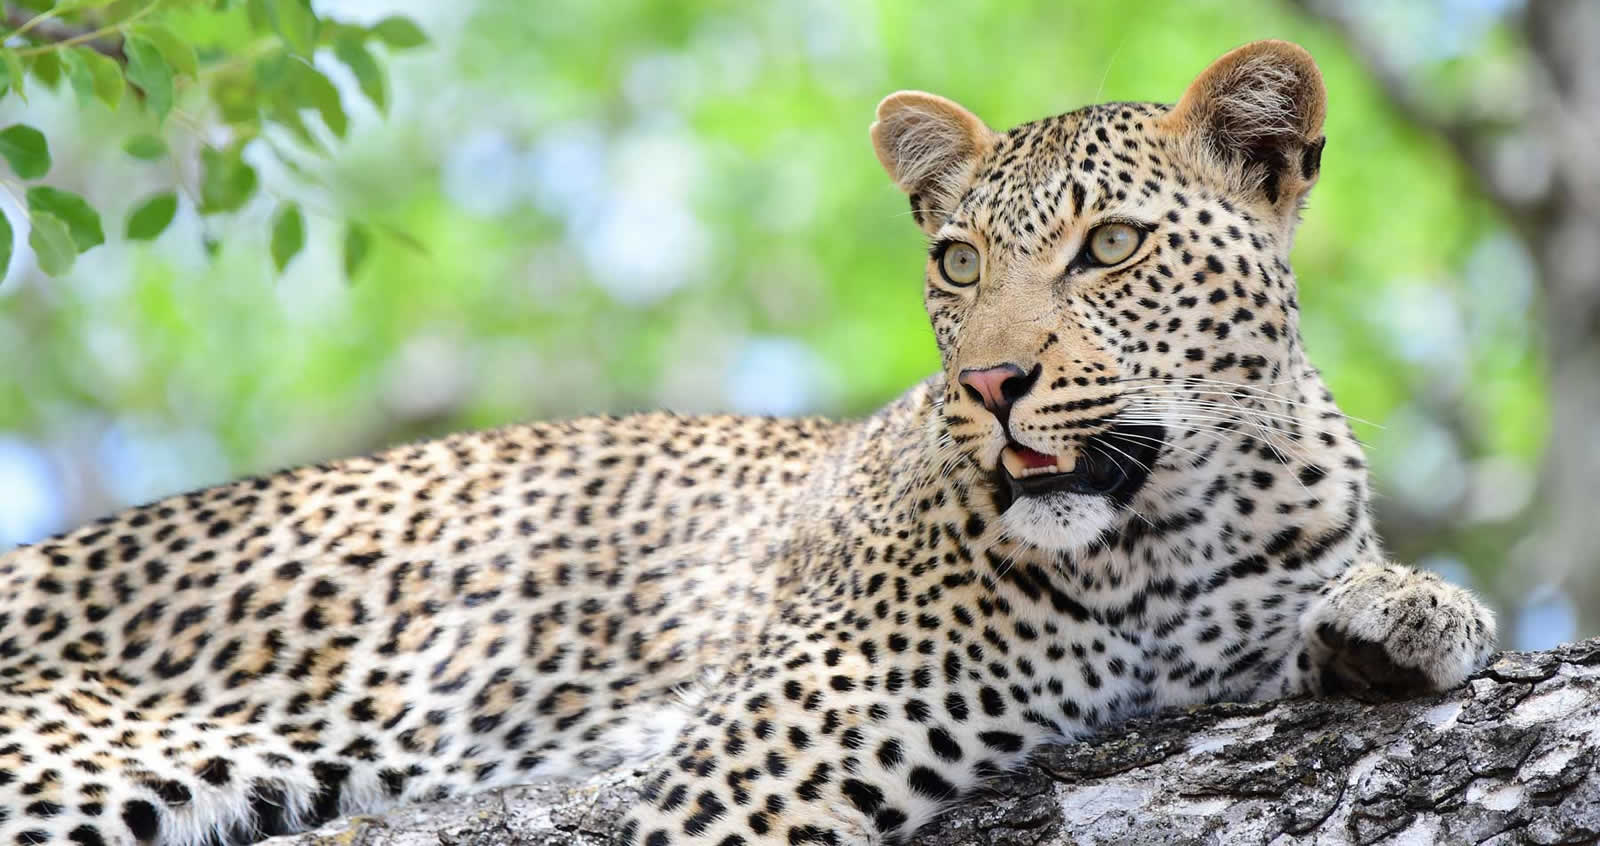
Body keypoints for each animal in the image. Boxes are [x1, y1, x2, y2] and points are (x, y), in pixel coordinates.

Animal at [0, 40, 1496, 846]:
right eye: (956, 261)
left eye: (1113, 246)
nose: (995, 381)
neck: (1169, 531)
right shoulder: (749, 773)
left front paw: (1403, 611)